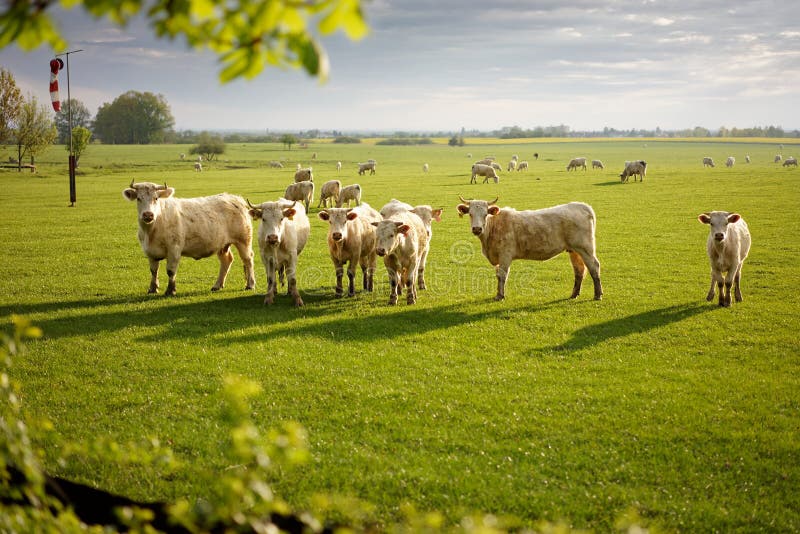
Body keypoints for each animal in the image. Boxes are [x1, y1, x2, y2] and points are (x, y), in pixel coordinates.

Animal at [122, 181, 255, 296]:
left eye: (156, 198)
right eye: (139, 198)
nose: (148, 214)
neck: (151, 231)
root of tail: (236, 198)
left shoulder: (174, 249)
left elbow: (170, 270)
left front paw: (171, 290)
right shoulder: (149, 251)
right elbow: (153, 271)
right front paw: (152, 289)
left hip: (244, 240)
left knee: (248, 259)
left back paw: (250, 284)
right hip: (222, 244)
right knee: (226, 260)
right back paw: (217, 285)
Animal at [456, 196, 602, 301]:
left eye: (485, 214)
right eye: (470, 214)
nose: (477, 229)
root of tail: (582, 206)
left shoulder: (505, 255)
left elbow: (502, 275)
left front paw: (500, 296)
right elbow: (498, 275)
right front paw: (498, 294)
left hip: (585, 248)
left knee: (594, 267)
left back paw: (598, 295)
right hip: (574, 250)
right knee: (579, 270)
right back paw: (574, 294)